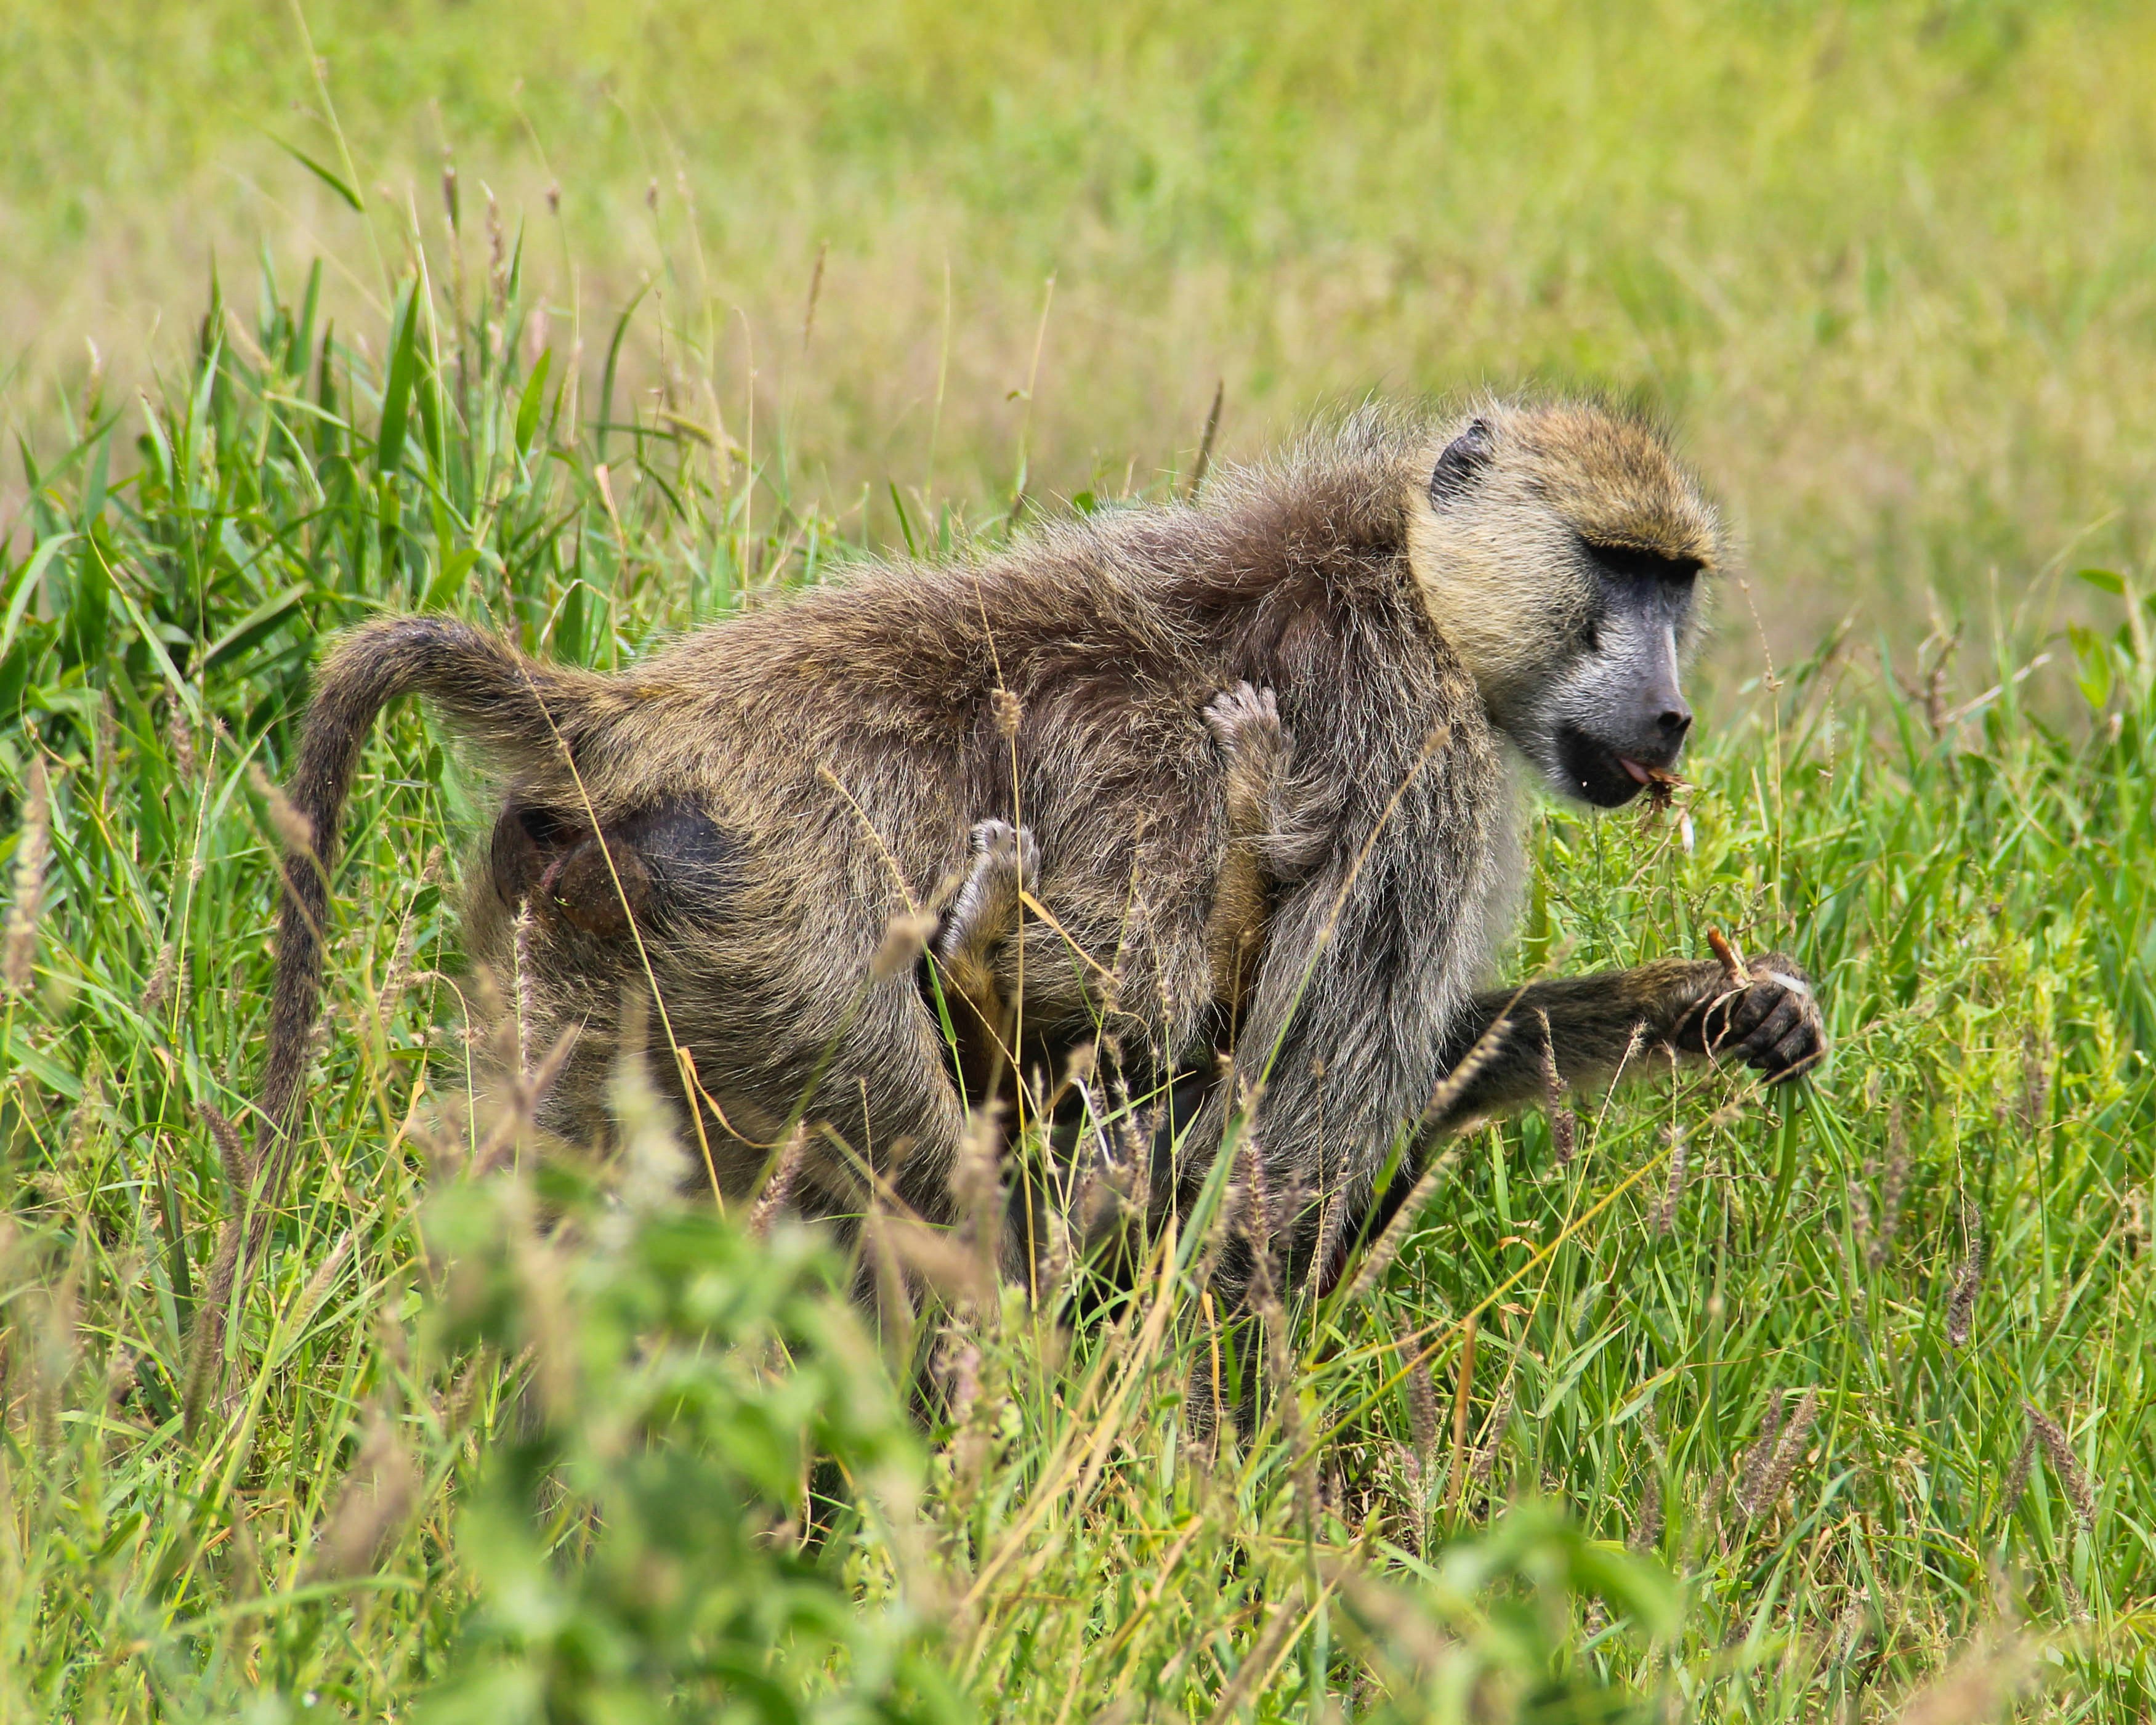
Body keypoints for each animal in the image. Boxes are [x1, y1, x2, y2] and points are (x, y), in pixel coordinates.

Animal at [244, 394, 1823, 1303]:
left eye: (1678, 582)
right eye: (1614, 568)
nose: (1672, 713)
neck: (1414, 577)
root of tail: (651, 715)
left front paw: (1727, 1007)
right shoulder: (1417, 766)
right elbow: (1273, 1177)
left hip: (582, 935)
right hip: (789, 965)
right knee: (922, 1227)